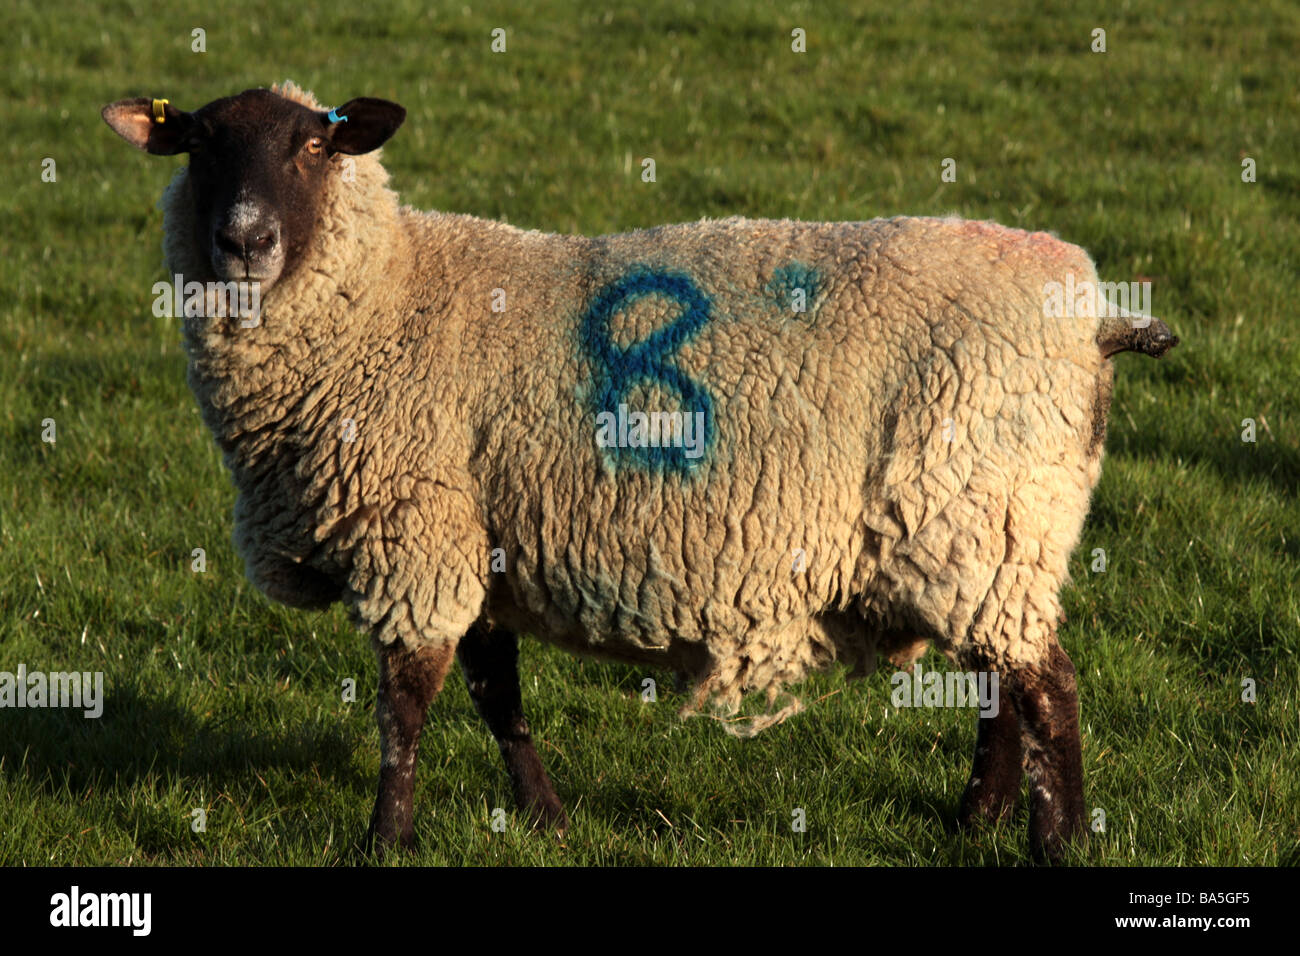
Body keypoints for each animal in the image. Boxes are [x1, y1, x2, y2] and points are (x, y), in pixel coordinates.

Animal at [102, 81, 1178, 862]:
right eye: (199, 144)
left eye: (316, 147)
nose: (243, 240)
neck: (386, 297)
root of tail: (1092, 311)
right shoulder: (486, 530)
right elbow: (497, 693)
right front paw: (544, 818)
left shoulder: (419, 532)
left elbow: (403, 707)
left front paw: (385, 839)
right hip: (968, 532)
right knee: (1003, 686)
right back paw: (974, 822)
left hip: (984, 514)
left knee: (1046, 688)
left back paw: (1058, 841)